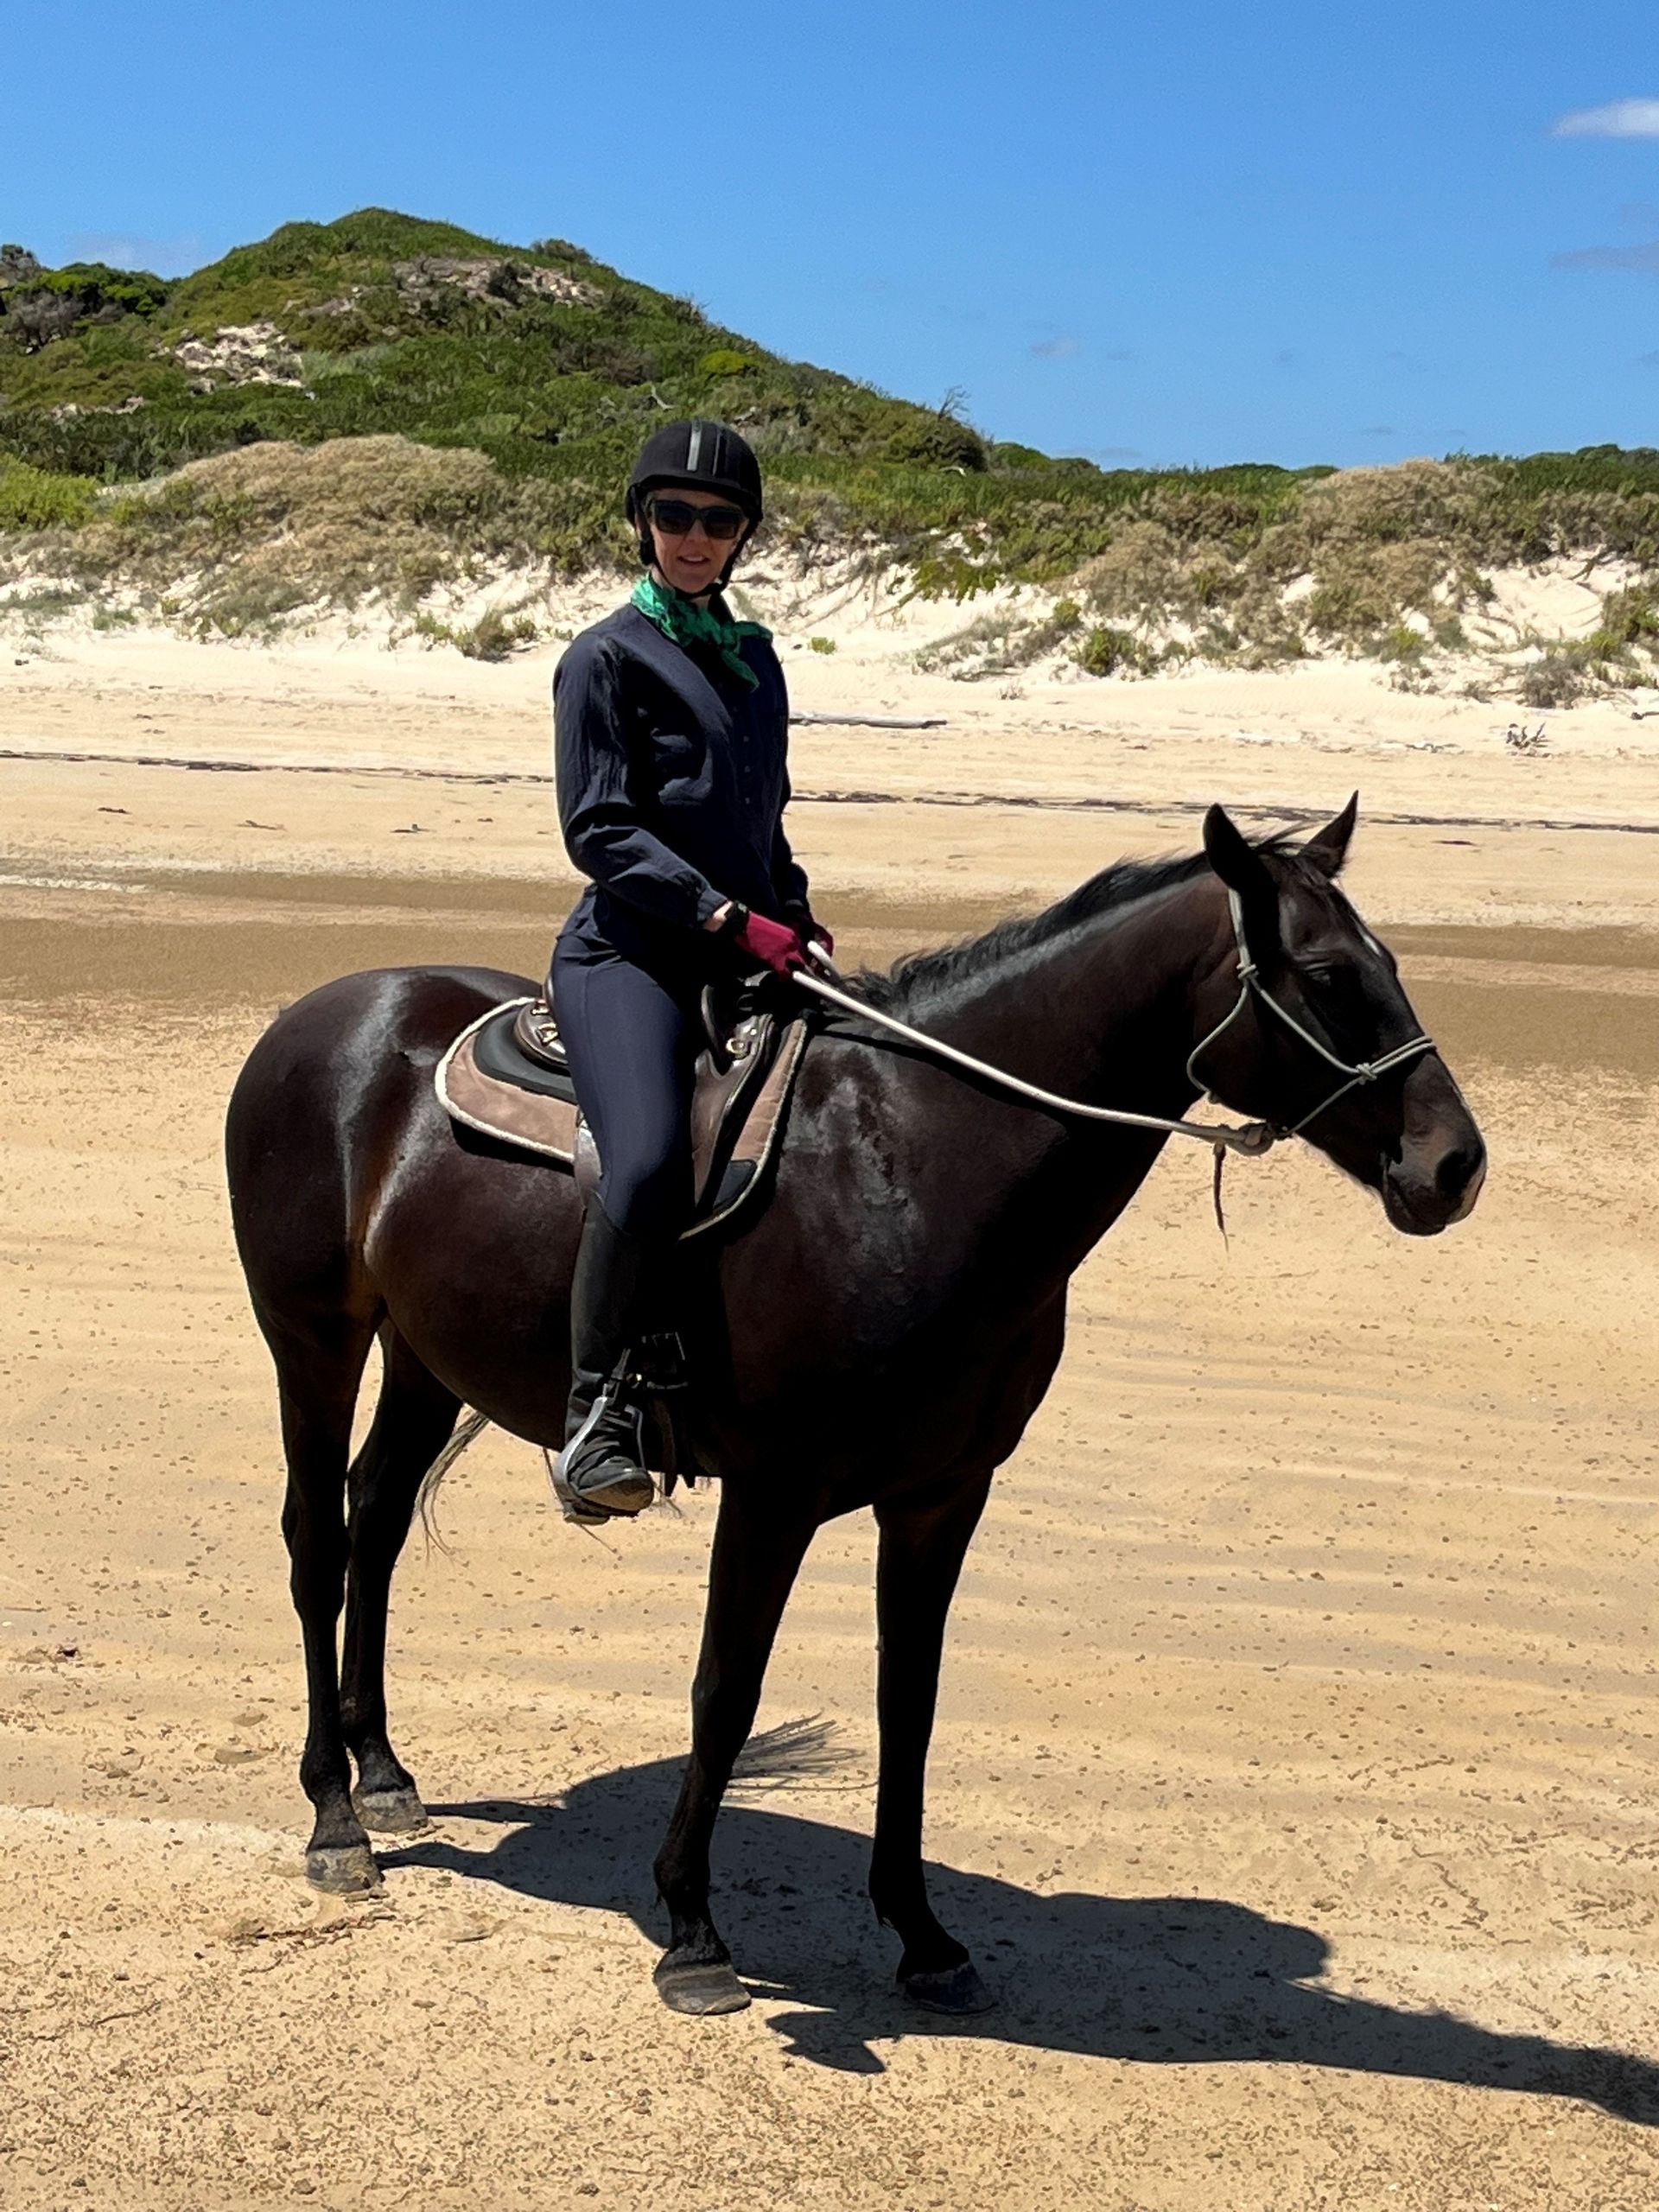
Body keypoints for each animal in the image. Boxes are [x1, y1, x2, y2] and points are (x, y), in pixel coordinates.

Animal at [224, 798, 1486, 2018]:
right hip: (314, 1337)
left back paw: (384, 1771)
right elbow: (725, 1692)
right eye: (1325, 973)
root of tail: (330, 1012)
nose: (1455, 1165)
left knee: (379, 1522)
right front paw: (692, 1930)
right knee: (317, 1540)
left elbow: (907, 1702)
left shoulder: (940, 1496)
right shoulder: (772, 1496)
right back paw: (336, 1815)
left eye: (1387, 960)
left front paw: (922, 1935)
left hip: (426, 1355)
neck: (917, 1161)